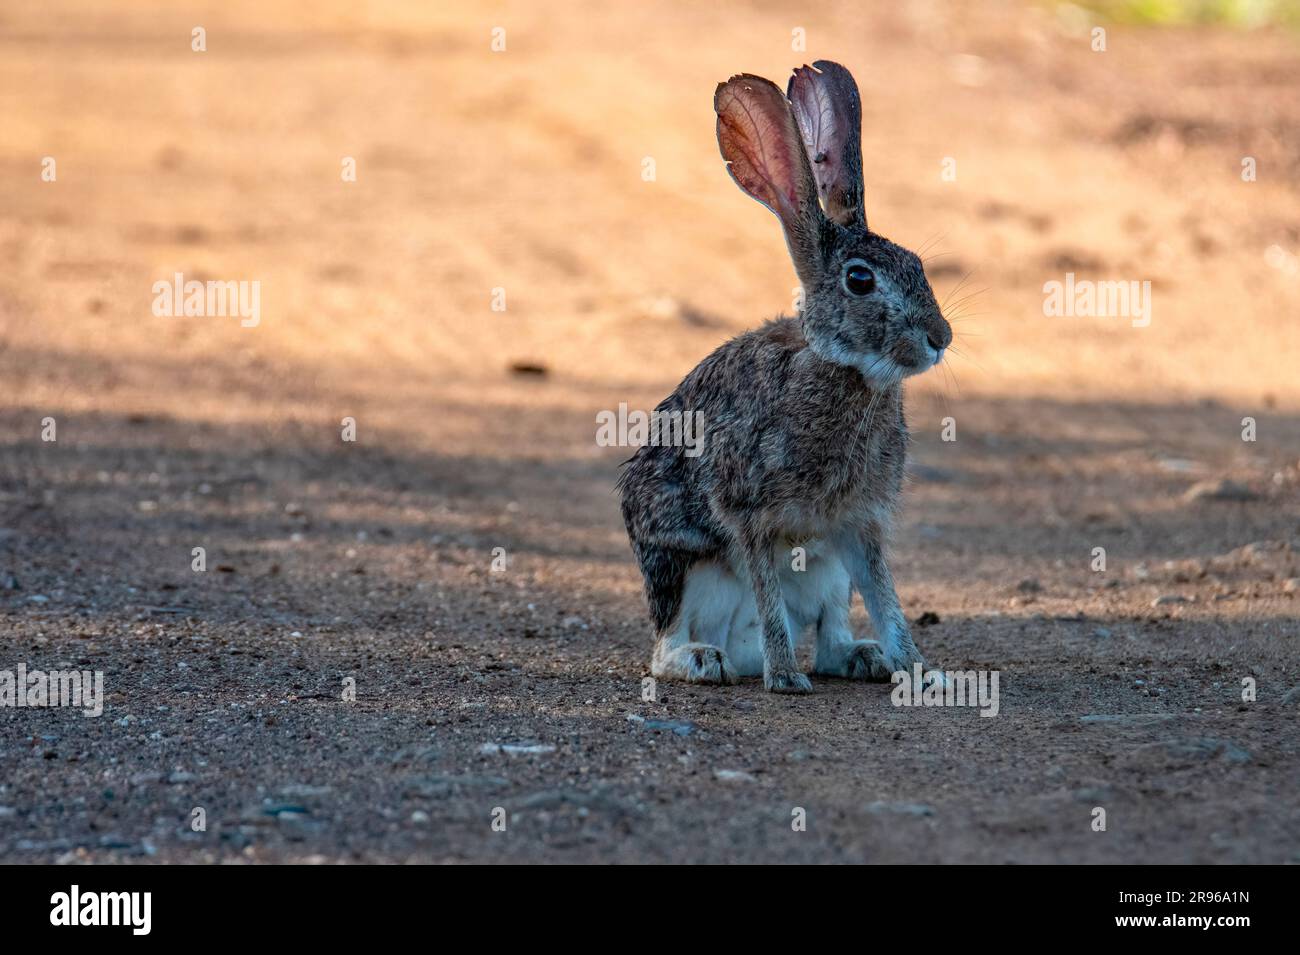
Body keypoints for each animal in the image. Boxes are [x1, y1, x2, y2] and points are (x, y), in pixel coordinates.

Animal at [618, 61, 952, 693]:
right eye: (860, 280)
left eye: (919, 266)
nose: (940, 337)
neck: (843, 371)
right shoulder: (747, 513)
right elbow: (768, 594)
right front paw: (785, 679)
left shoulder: (860, 522)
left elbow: (888, 599)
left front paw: (925, 675)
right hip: (681, 561)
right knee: (666, 643)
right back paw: (710, 661)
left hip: (826, 575)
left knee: (831, 636)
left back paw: (862, 658)